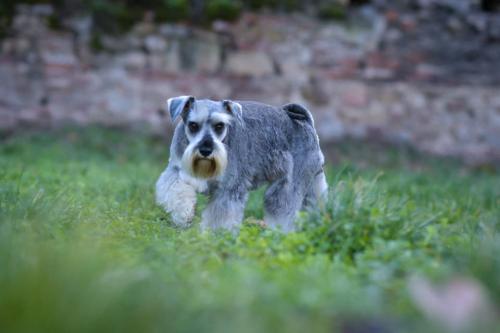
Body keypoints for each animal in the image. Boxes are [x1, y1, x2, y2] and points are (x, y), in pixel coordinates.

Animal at [156, 96, 328, 231]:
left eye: (220, 125)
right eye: (193, 125)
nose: (206, 150)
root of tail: (306, 123)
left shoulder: (229, 189)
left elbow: (220, 215)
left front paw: (217, 236)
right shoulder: (174, 171)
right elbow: (176, 190)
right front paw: (184, 214)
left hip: (288, 188)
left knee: (284, 210)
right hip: (312, 185)